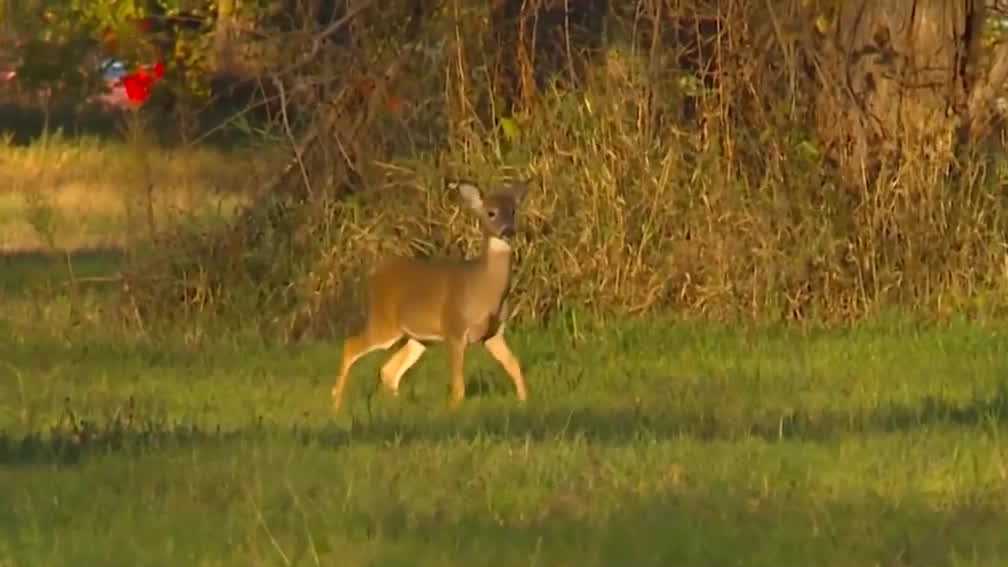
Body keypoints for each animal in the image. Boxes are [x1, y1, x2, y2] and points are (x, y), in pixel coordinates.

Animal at [330, 178, 531, 411]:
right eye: (491, 213)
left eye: (513, 211)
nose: (508, 230)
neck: (484, 291)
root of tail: (372, 276)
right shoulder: (454, 328)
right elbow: (459, 386)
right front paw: (453, 410)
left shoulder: (494, 334)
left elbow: (515, 365)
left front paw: (524, 402)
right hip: (383, 322)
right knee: (351, 346)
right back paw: (336, 405)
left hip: (416, 337)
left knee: (389, 369)